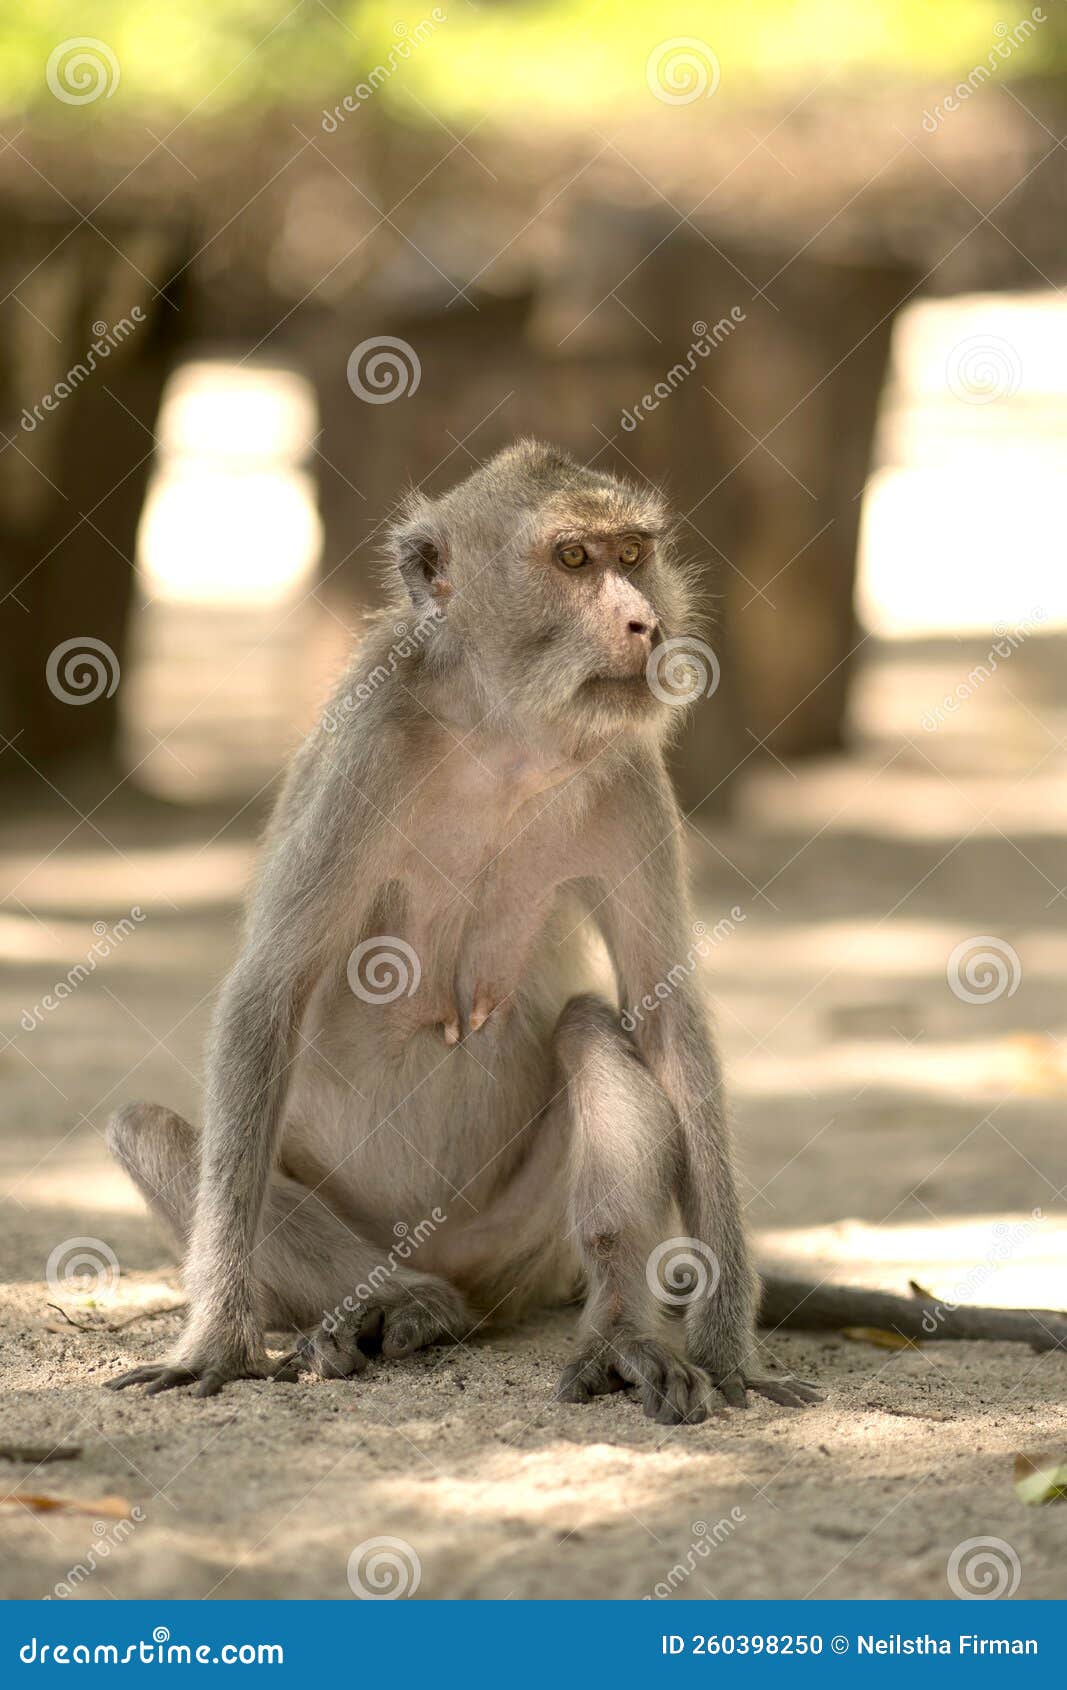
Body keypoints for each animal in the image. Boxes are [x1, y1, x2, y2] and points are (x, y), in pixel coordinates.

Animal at [107, 440, 1066, 1424]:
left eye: (632, 554)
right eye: (572, 559)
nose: (644, 621)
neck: (505, 734)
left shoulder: (627, 768)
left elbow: (664, 1014)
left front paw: (727, 1344)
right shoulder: (366, 745)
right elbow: (269, 994)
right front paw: (218, 1339)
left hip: (523, 1244)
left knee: (588, 1029)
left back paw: (613, 1335)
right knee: (149, 1130)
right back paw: (400, 1303)